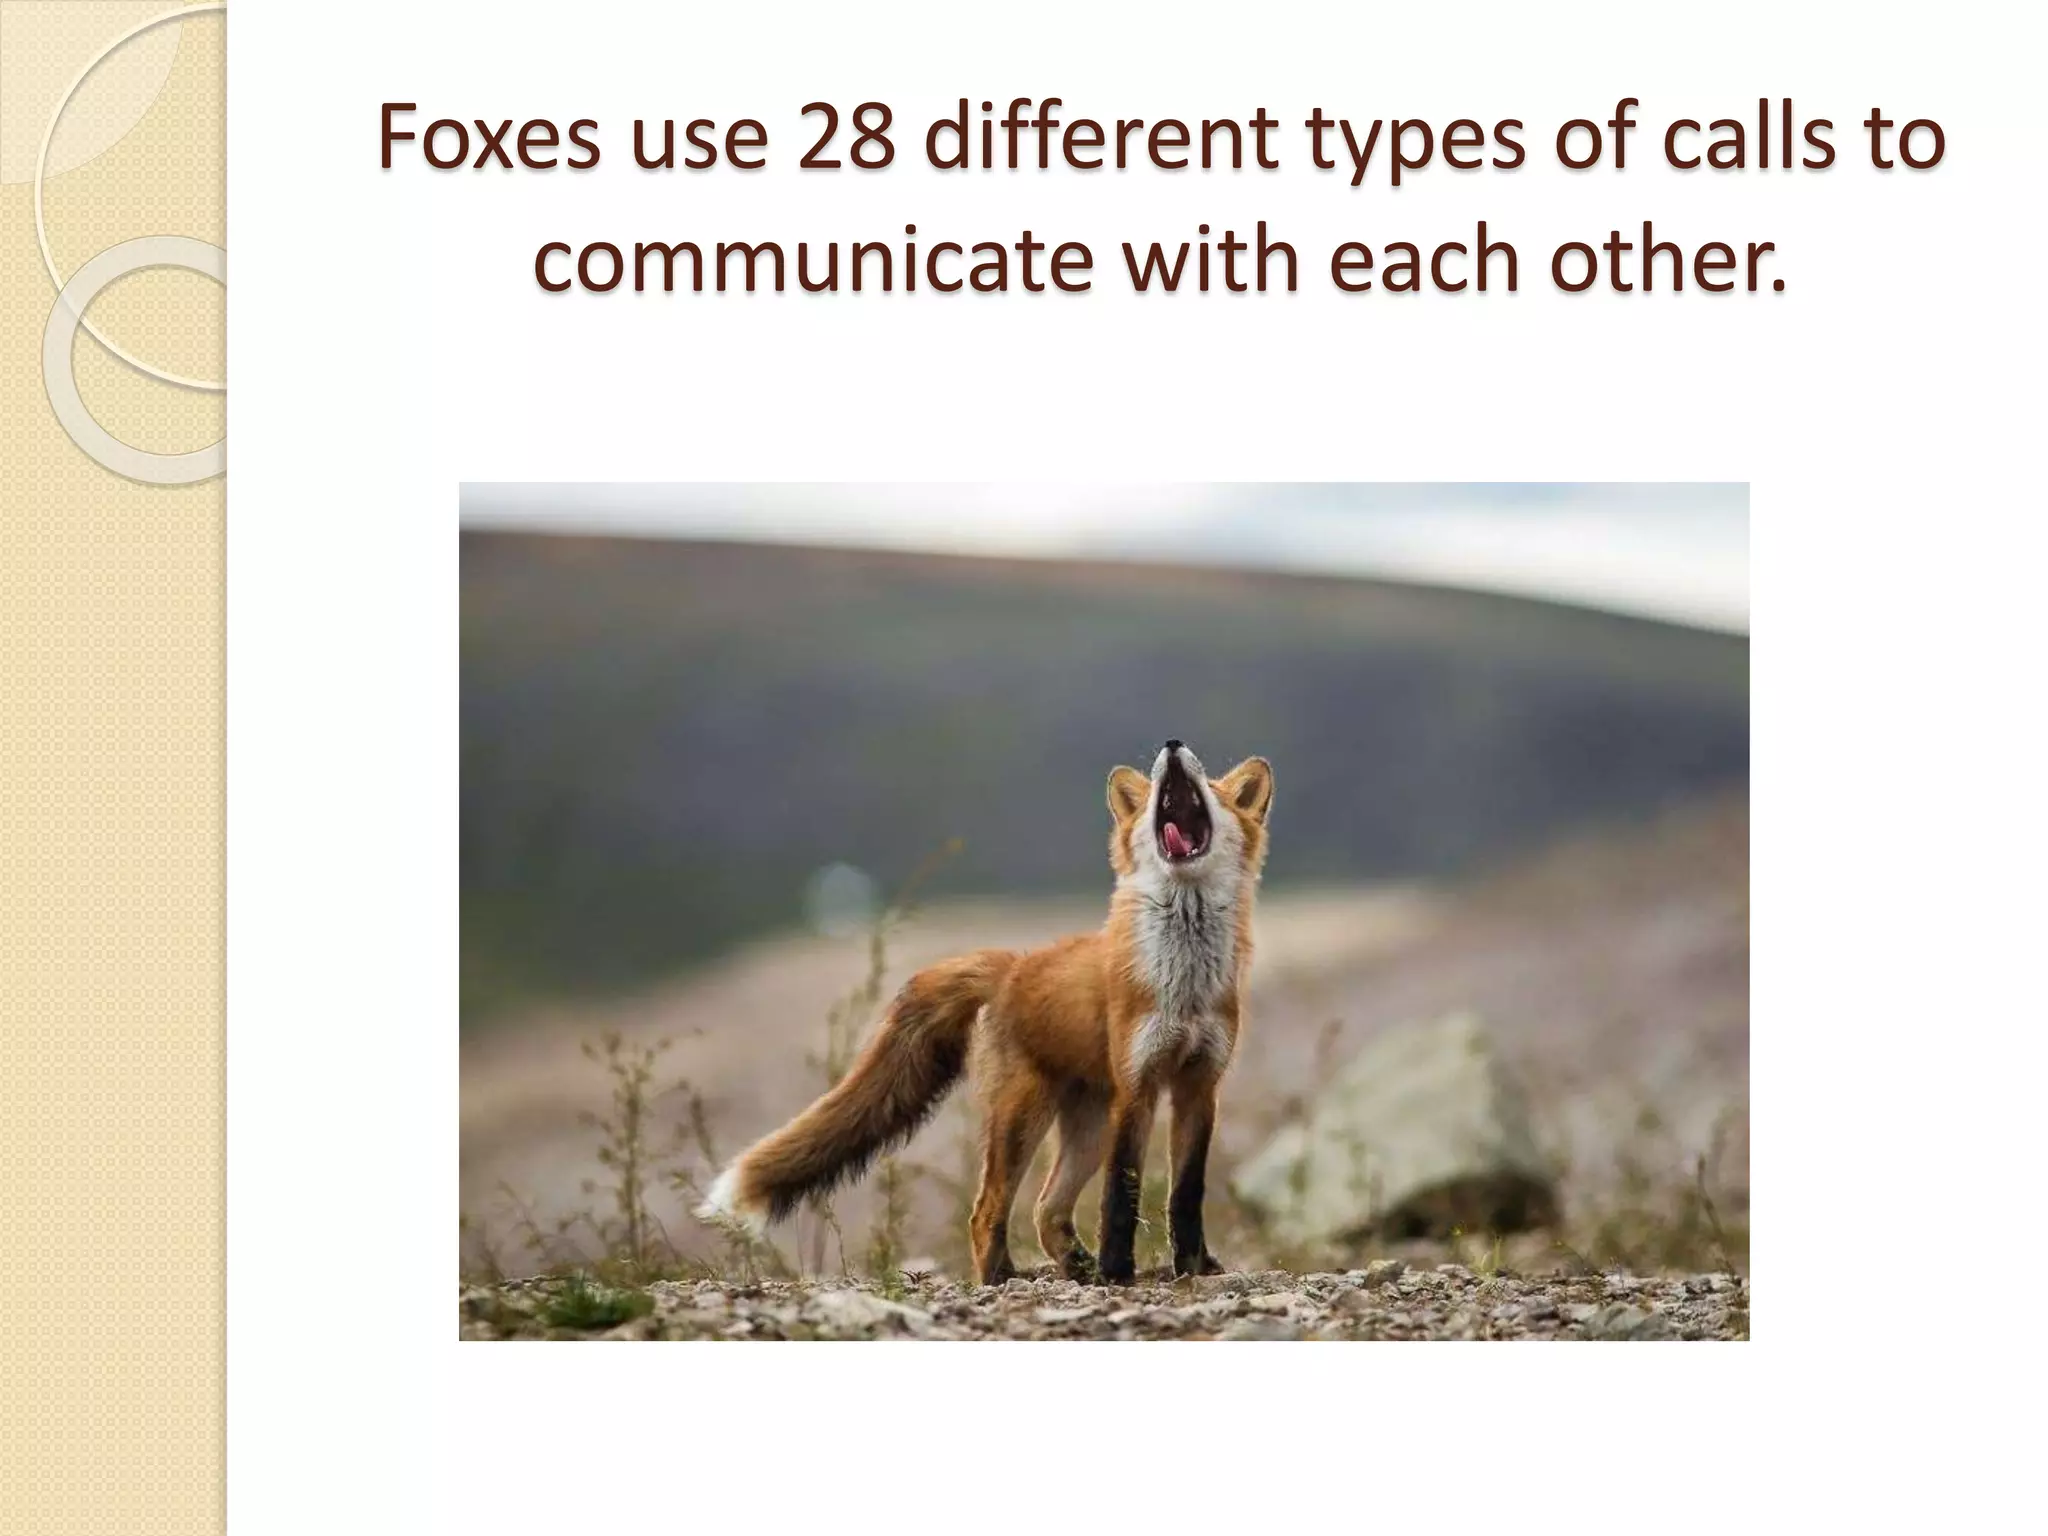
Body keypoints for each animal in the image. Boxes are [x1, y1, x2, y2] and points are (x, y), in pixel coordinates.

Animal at [695, 740, 1274, 1285]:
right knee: (986, 1210)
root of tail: (1011, 964)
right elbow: (1122, 1193)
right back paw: (1005, 1277)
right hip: (1025, 1116)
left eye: (1212, 789)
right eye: (1157, 788)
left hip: (1085, 1129)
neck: (1186, 986)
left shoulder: (1200, 1084)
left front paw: (1195, 1265)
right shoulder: (1138, 1086)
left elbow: (1187, 1192)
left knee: (1045, 1210)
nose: (1173, 745)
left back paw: (1076, 1270)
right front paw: (1117, 1272)